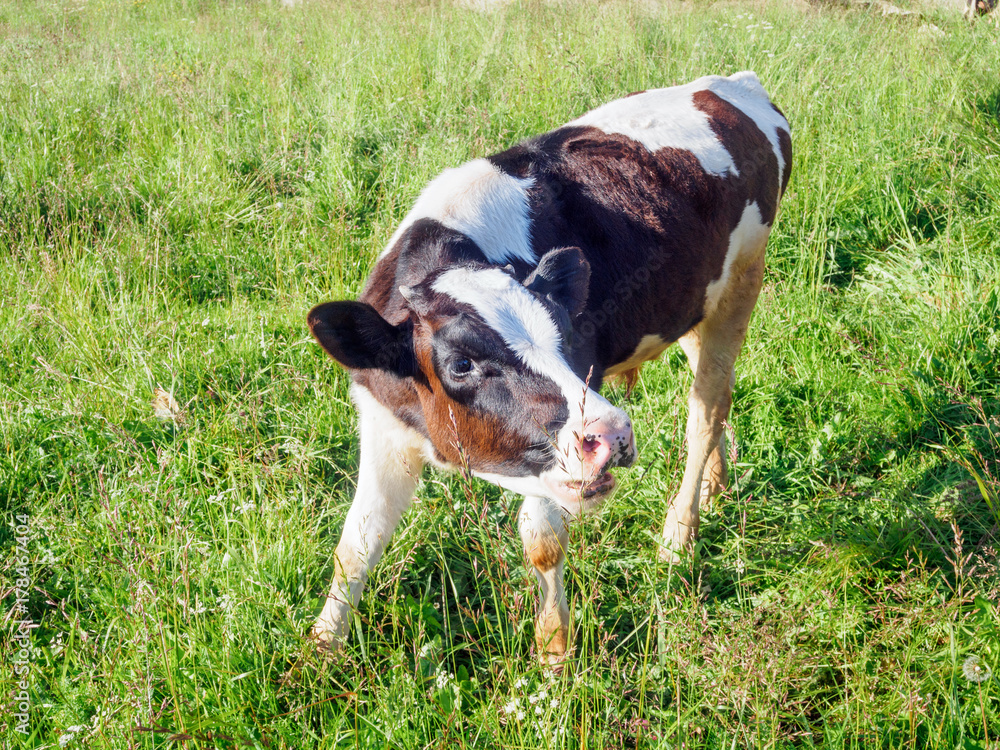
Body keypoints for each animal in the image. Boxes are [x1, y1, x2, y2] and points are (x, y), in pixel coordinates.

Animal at [307, 71, 792, 668]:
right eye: (461, 363)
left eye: (571, 335)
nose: (612, 434)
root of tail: (732, 83)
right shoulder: (385, 427)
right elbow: (356, 545)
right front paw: (320, 650)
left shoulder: (552, 459)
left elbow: (542, 543)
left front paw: (555, 649)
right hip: (697, 301)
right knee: (717, 395)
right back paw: (714, 489)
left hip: (746, 277)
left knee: (706, 410)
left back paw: (679, 535)